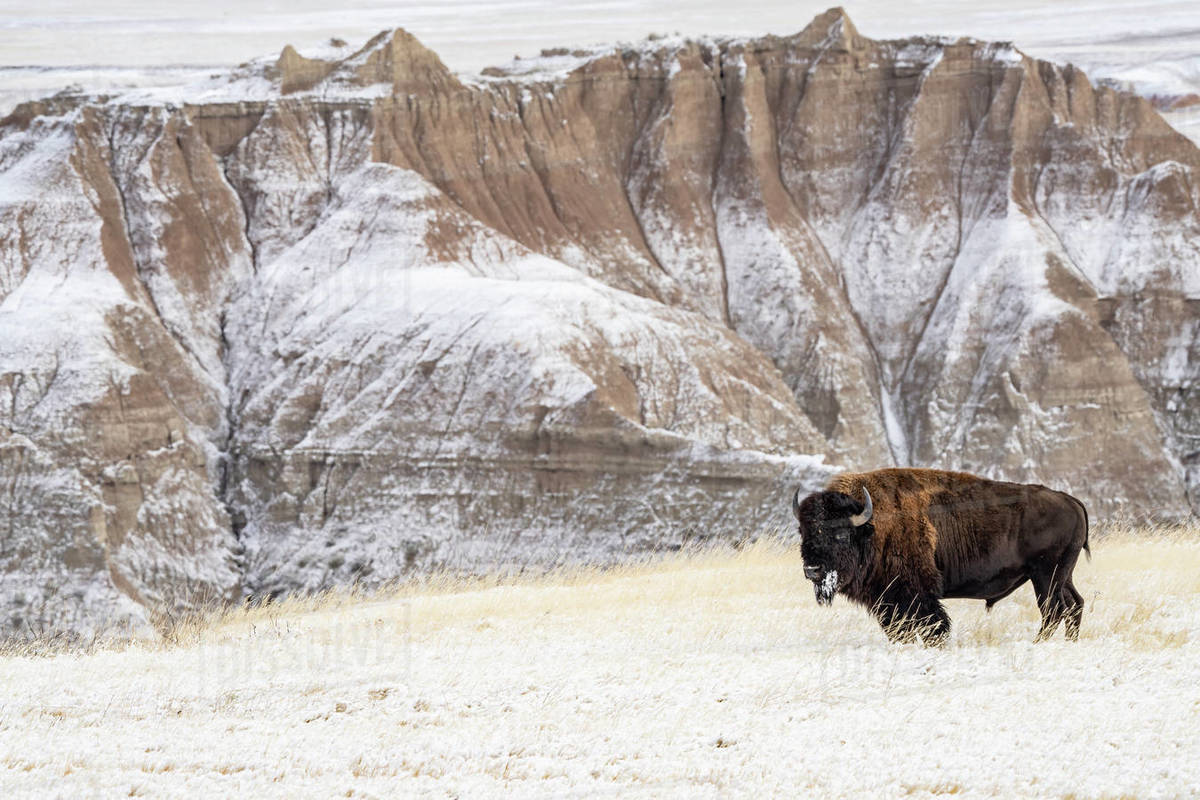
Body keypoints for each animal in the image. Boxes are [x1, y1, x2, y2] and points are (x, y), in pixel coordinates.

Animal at [791, 468, 1090, 645]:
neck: (873, 526)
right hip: (1062, 575)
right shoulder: (886, 600)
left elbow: (933, 623)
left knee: (1053, 610)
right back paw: (1069, 641)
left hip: (1045, 576)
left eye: (841, 534)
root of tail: (1070, 500)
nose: (813, 569)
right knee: (1074, 604)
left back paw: (1038, 643)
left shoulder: (915, 594)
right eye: (803, 531)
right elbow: (898, 628)